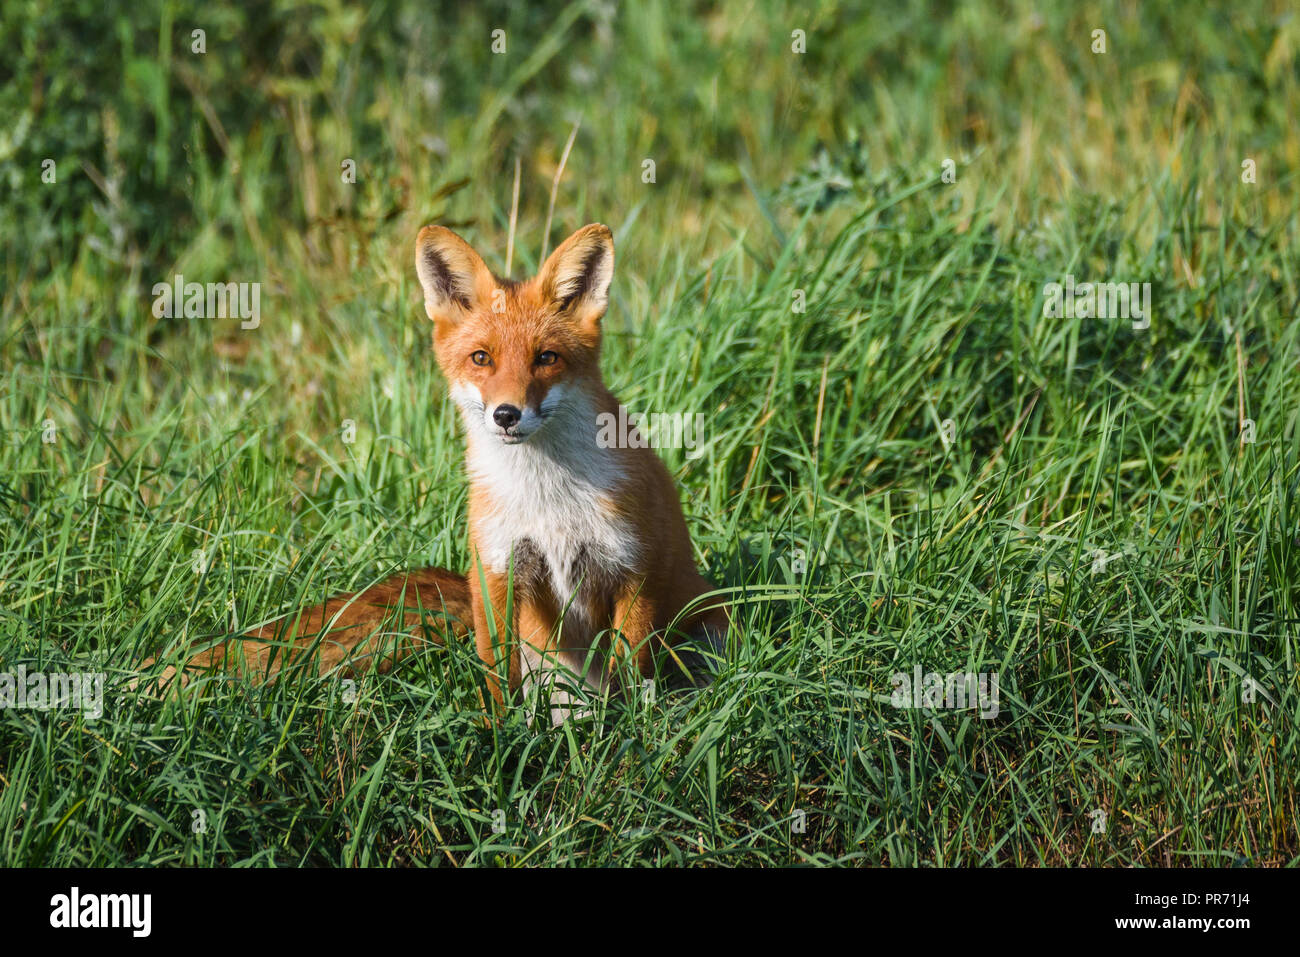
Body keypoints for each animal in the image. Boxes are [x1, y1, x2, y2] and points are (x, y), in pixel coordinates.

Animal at [140, 223, 731, 723]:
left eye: (546, 358)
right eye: (481, 358)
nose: (506, 414)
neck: (549, 499)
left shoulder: (635, 573)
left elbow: (633, 674)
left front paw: (630, 740)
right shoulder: (496, 571)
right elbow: (498, 679)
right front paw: (504, 739)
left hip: (711, 627)